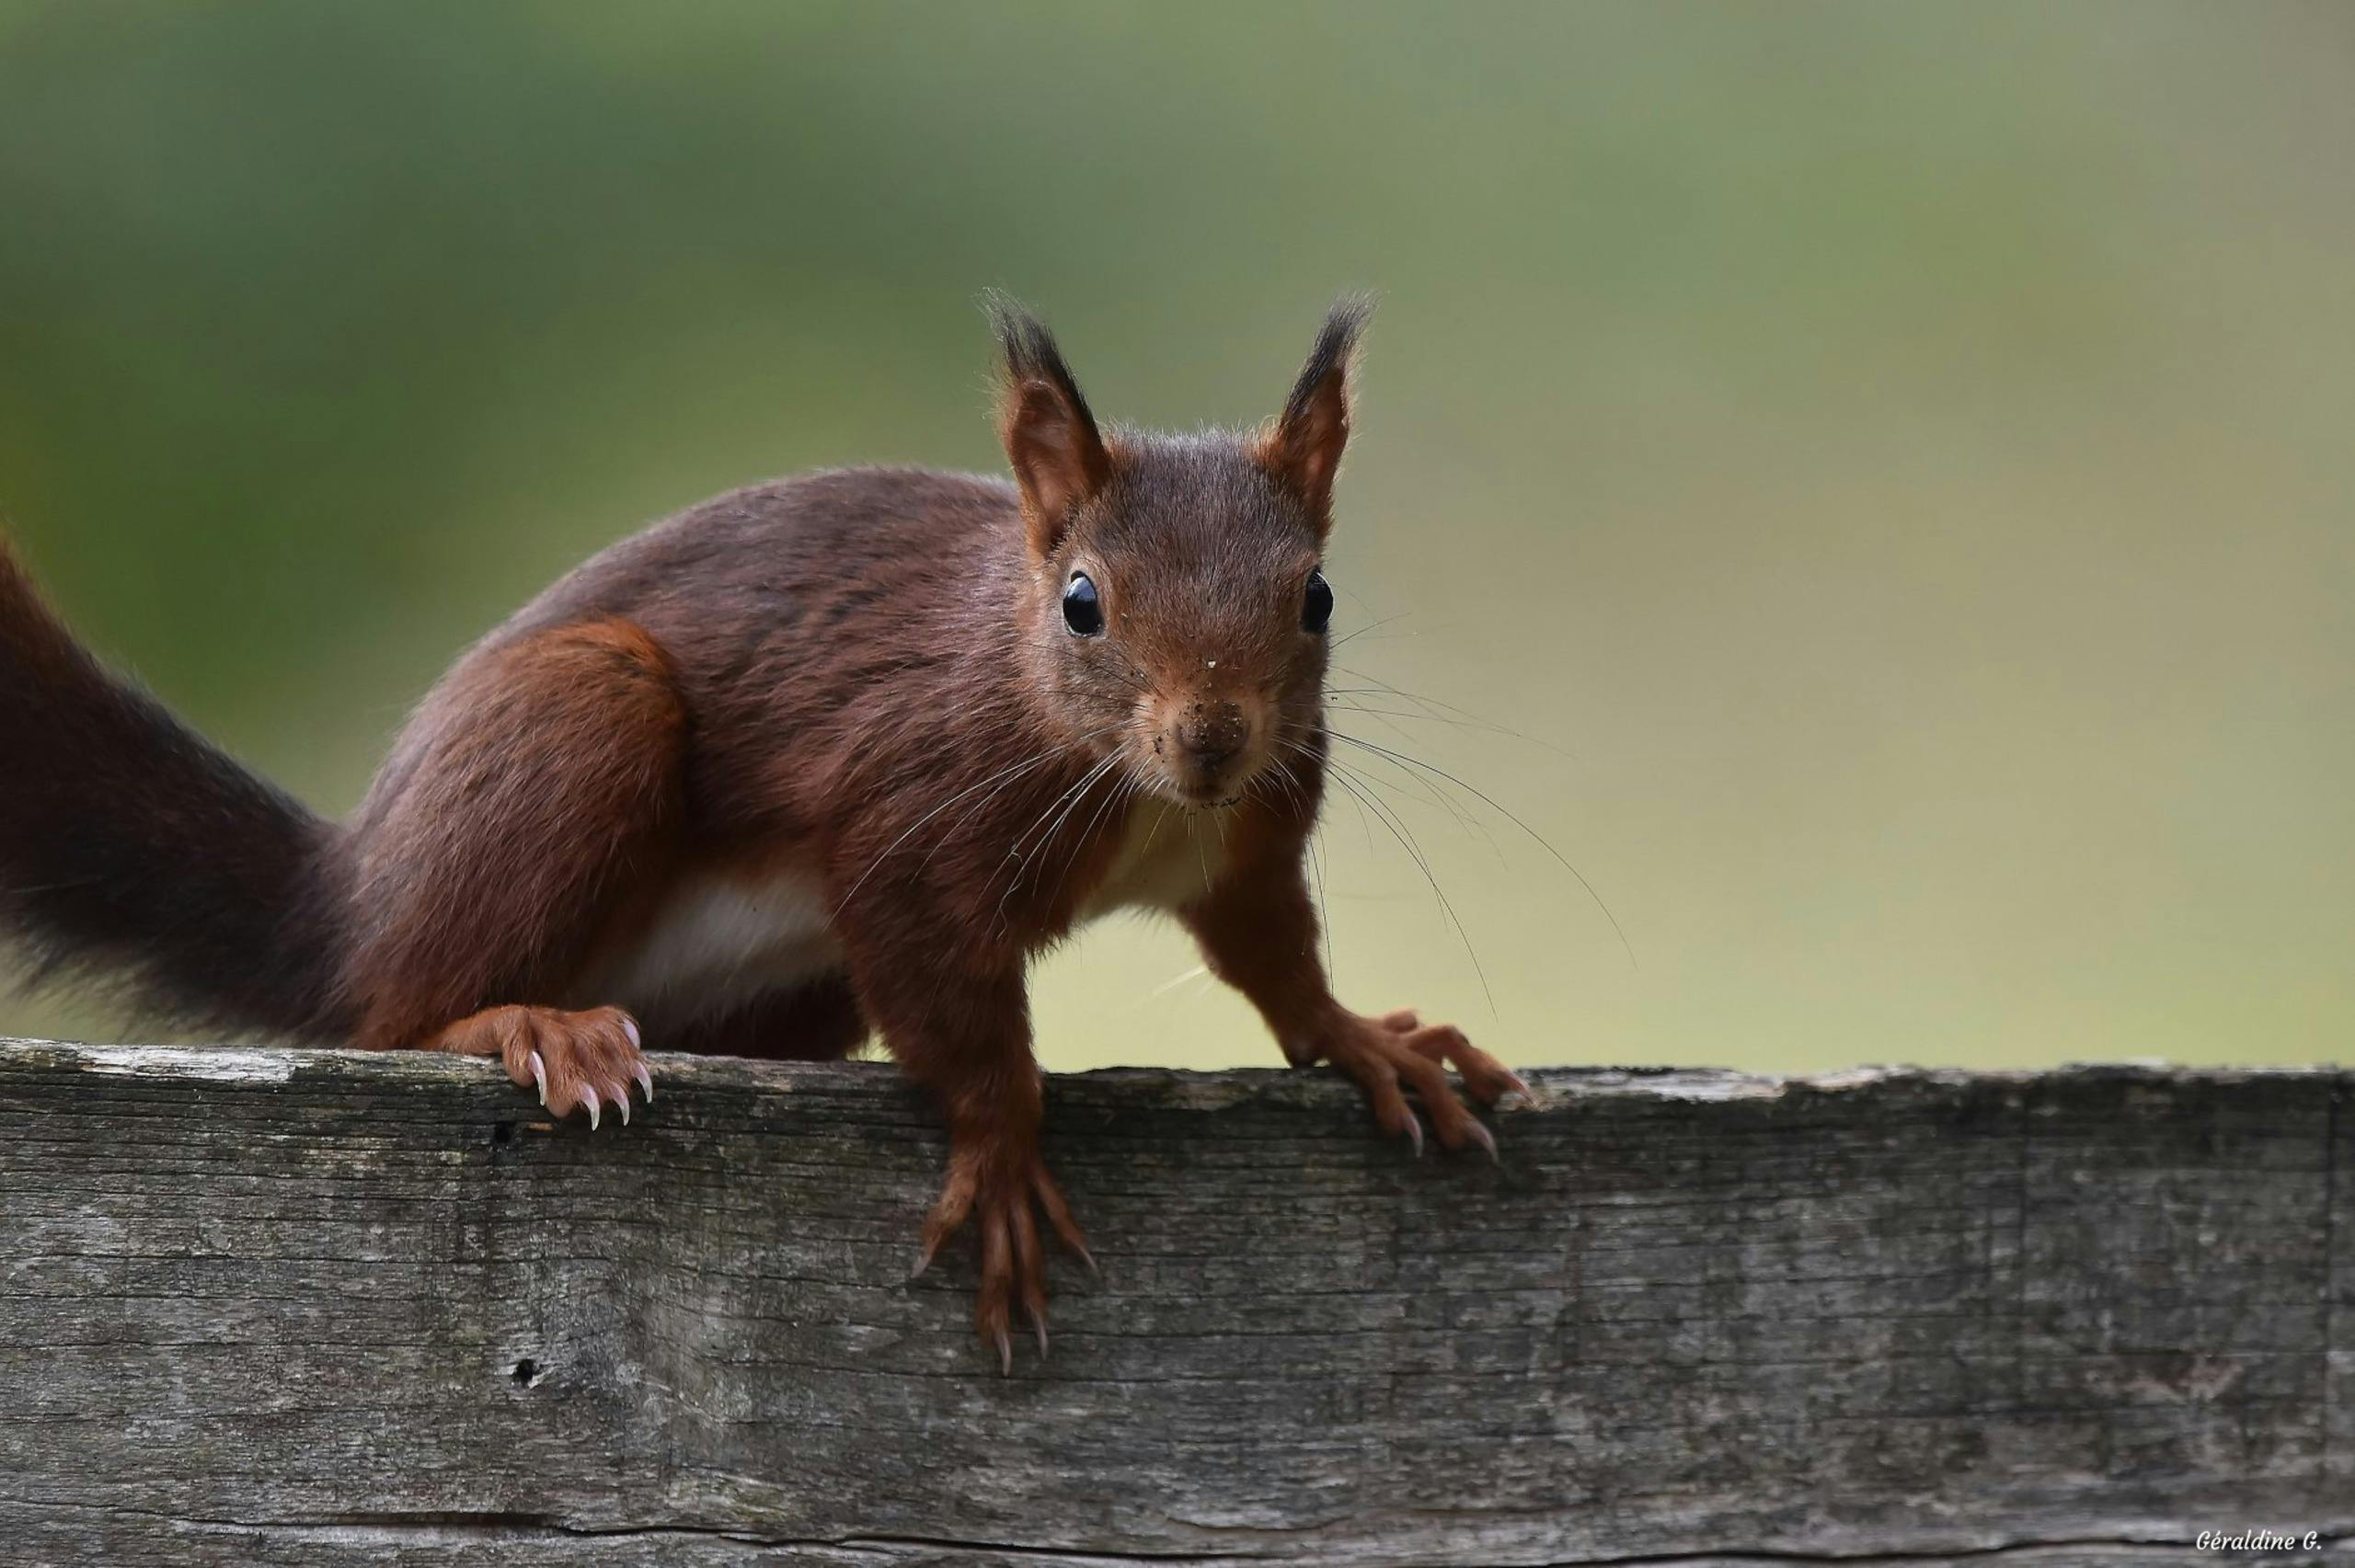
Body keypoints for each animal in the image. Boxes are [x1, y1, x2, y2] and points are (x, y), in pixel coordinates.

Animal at [0, 298, 1526, 1369]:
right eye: (1083, 601)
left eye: (1316, 596)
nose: (1212, 737)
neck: (1137, 794)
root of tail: (351, 892)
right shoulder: (906, 810)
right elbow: (962, 1019)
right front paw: (1004, 1159)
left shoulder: (1251, 839)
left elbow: (1276, 960)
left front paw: (1371, 1041)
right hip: (577, 719)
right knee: (391, 1011)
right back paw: (528, 1025)